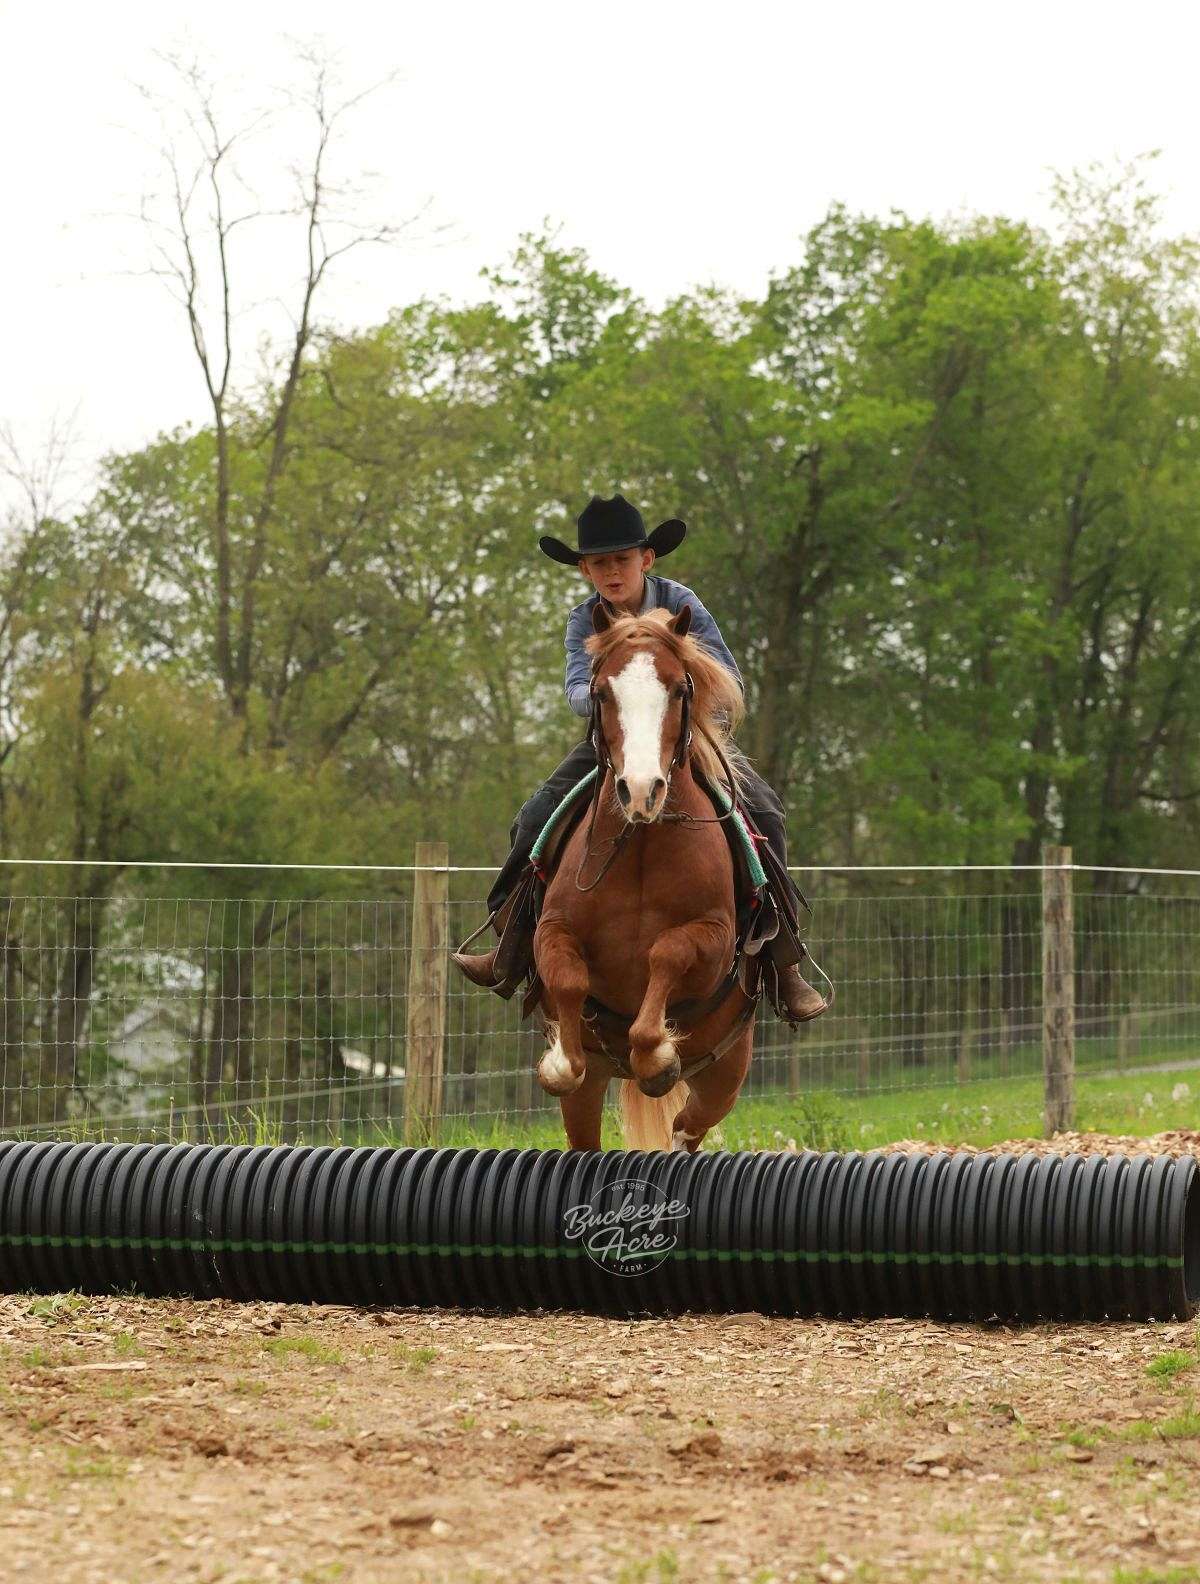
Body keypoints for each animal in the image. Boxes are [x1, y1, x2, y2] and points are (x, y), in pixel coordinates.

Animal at [532, 602, 758, 1153]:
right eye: (601, 692)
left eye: (678, 690)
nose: (640, 790)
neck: (639, 847)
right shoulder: (553, 930)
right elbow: (568, 979)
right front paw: (558, 1060)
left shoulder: (714, 936)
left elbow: (667, 952)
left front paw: (656, 1056)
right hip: (590, 1097)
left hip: (725, 1075)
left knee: (687, 1127)